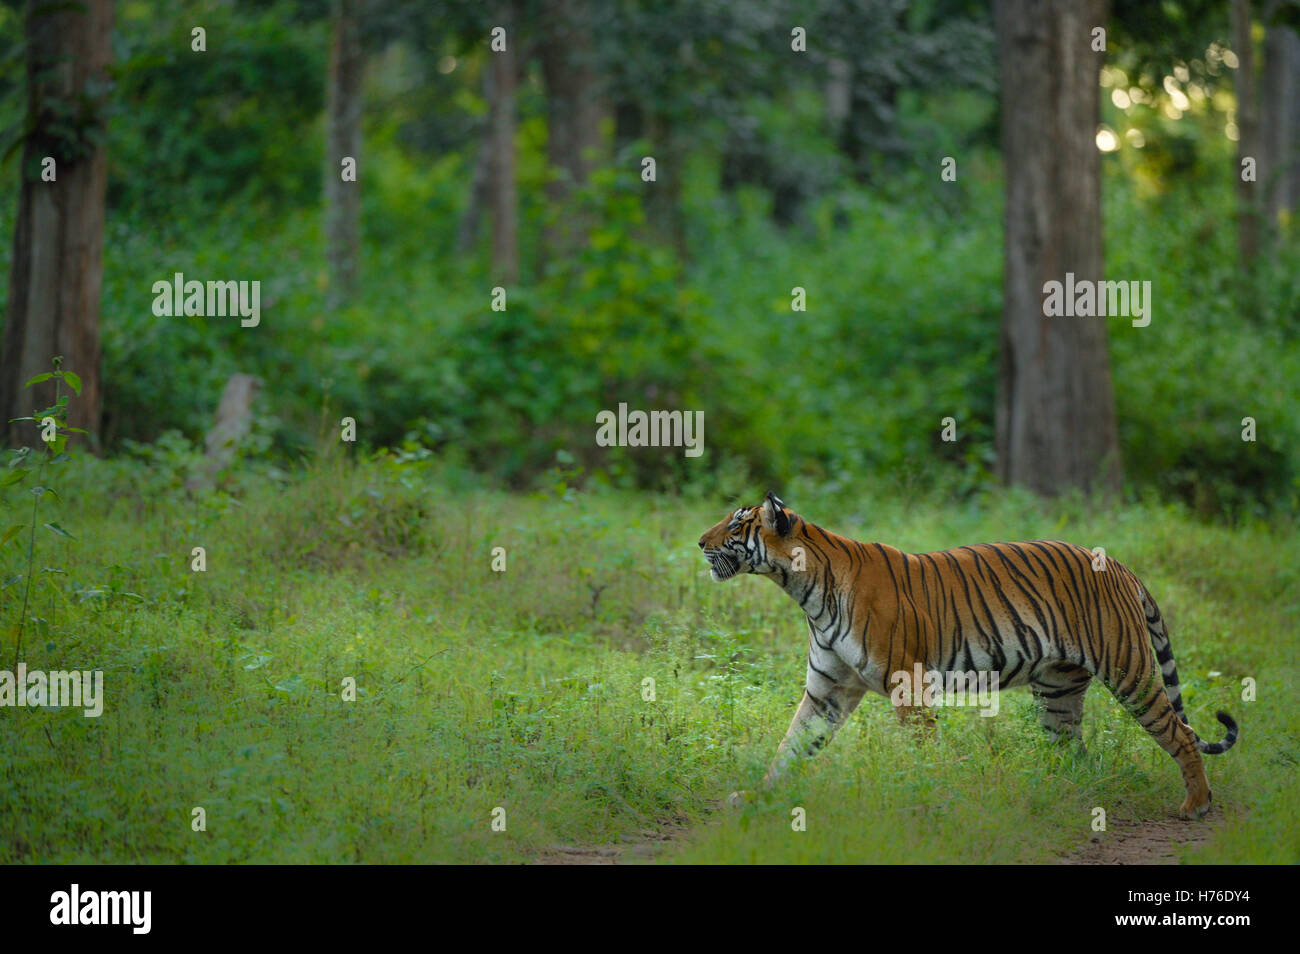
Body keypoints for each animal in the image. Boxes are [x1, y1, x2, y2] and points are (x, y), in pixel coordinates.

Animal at [697, 491, 1238, 818]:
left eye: (737, 523)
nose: (699, 541)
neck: (805, 590)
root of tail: (1122, 566)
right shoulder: (827, 691)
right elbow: (789, 748)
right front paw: (756, 797)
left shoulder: (908, 685)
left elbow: (921, 754)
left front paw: (925, 800)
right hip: (1058, 691)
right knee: (1076, 751)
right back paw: (1056, 799)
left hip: (1128, 669)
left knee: (1180, 730)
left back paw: (1196, 803)